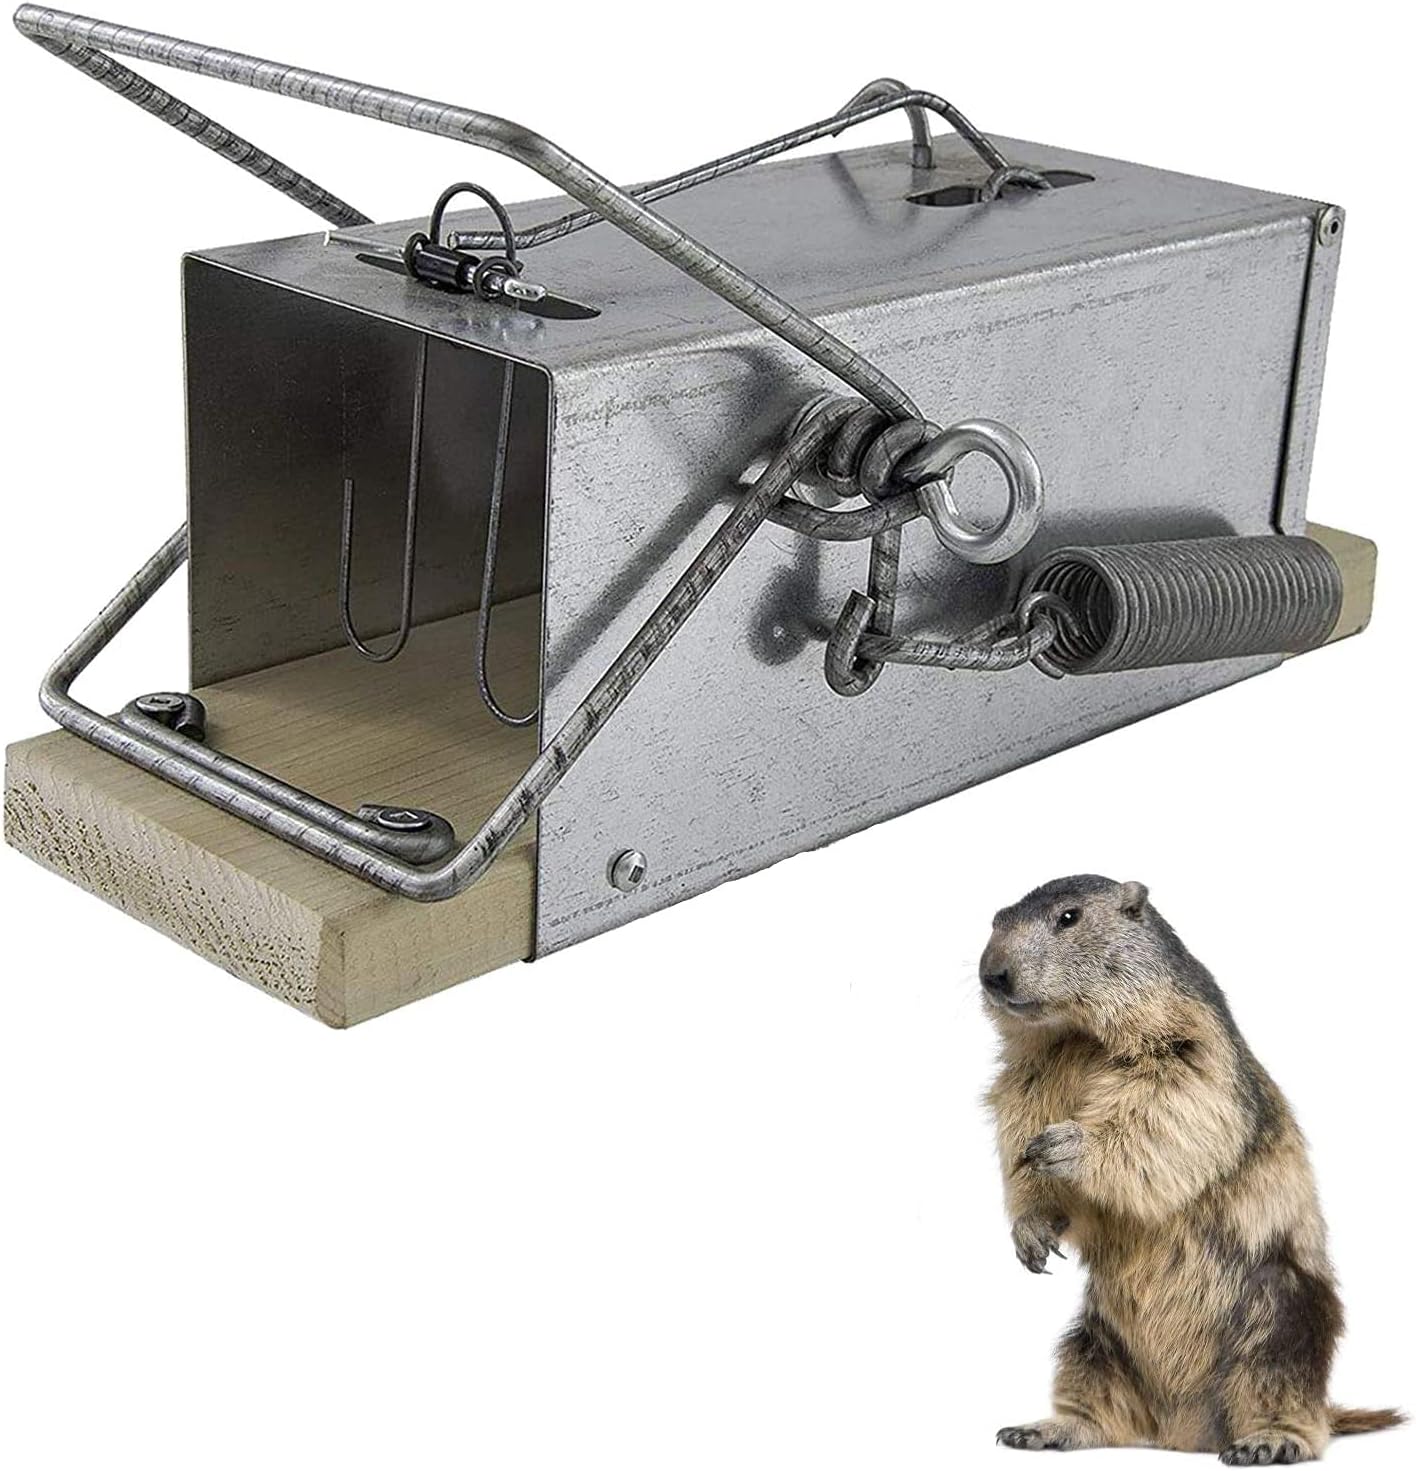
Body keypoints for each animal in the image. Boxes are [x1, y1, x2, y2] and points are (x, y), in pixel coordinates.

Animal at [979, 875, 1401, 1466]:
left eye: (1069, 917)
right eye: (995, 920)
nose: (992, 973)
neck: (1076, 1036)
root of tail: (1184, 1430)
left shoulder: (1187, 1035)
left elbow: (1173, 1099)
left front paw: (1070, 1143)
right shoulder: (1029, 1074)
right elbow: (1018, 1125)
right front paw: (1031, 1227)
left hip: (1283, 1320)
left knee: (1283, 1388)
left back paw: (1269, 1441)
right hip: (1091, 1338)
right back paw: (1045, 1429)